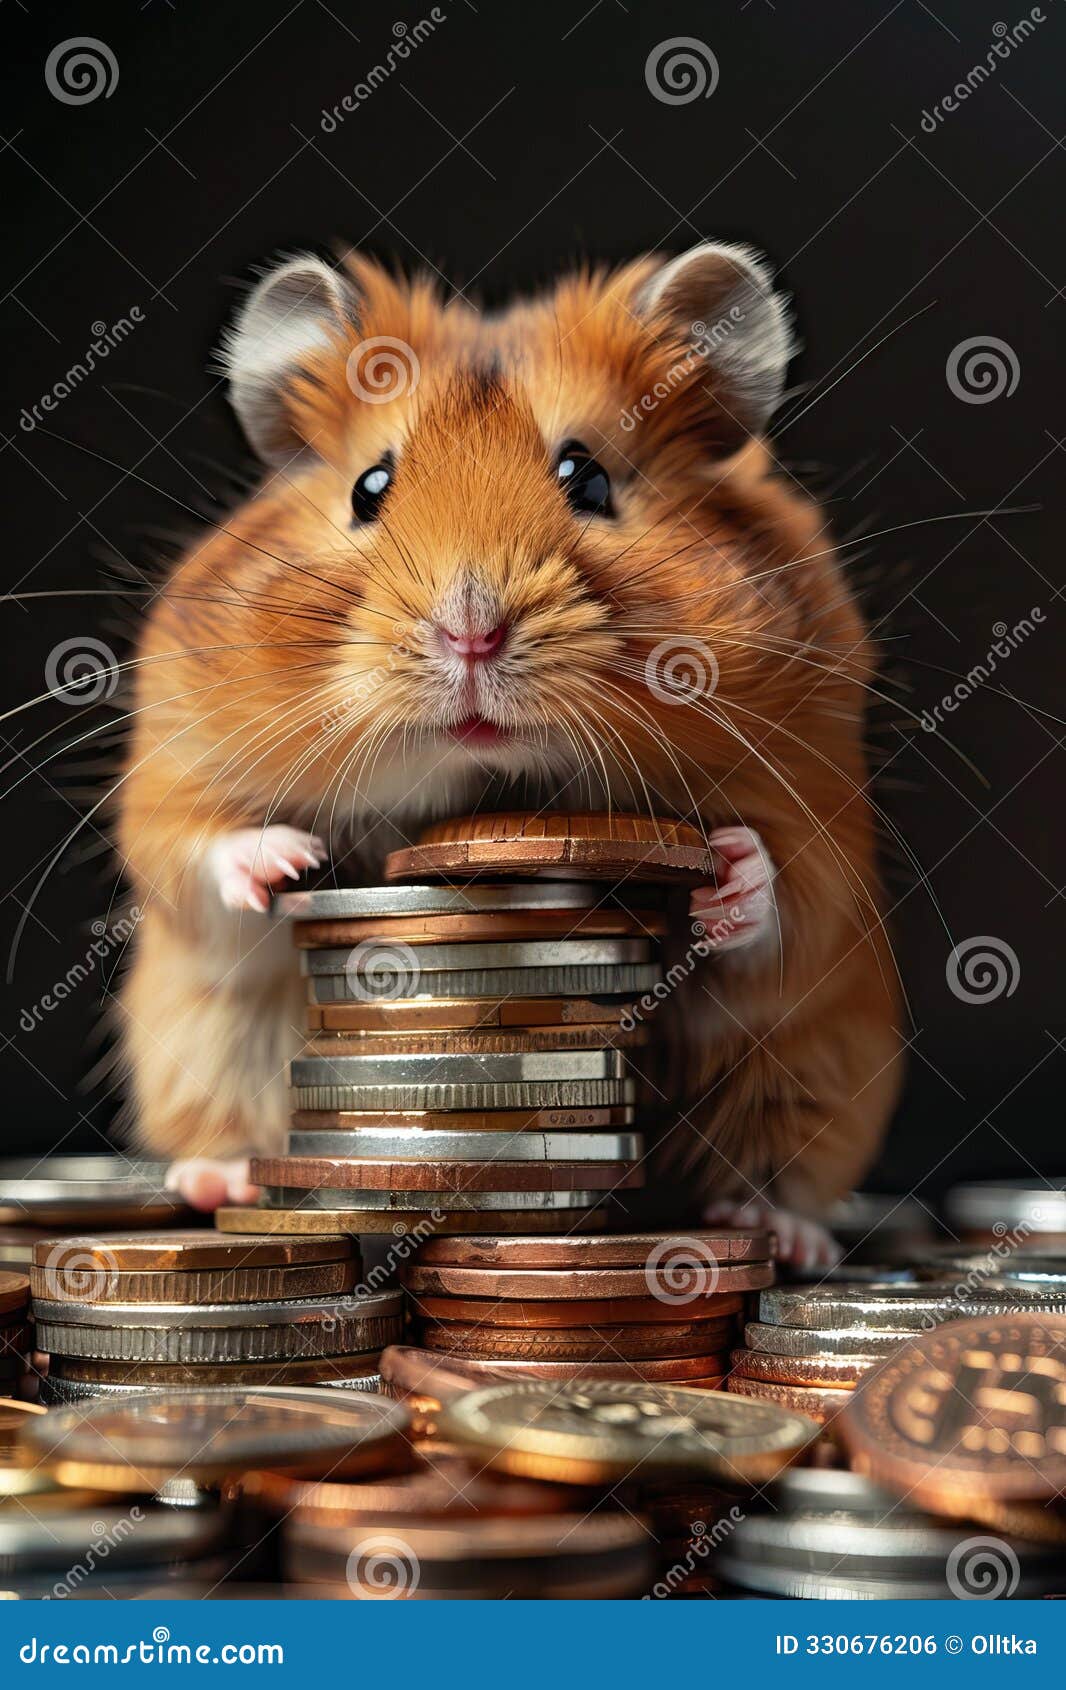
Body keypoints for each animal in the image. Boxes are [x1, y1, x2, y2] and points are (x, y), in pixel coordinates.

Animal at [115, 242, 902, 1262]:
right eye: (370, 488)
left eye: (589, 477)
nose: (472, 632)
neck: (478, 777)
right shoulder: (177, 765)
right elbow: (204, 861)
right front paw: (290, 859)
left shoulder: (818, 799)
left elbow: (785, 899)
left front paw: (727, 870)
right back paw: (222, 1183)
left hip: (817, 1075)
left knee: (781, 1173)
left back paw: (776, 1231)